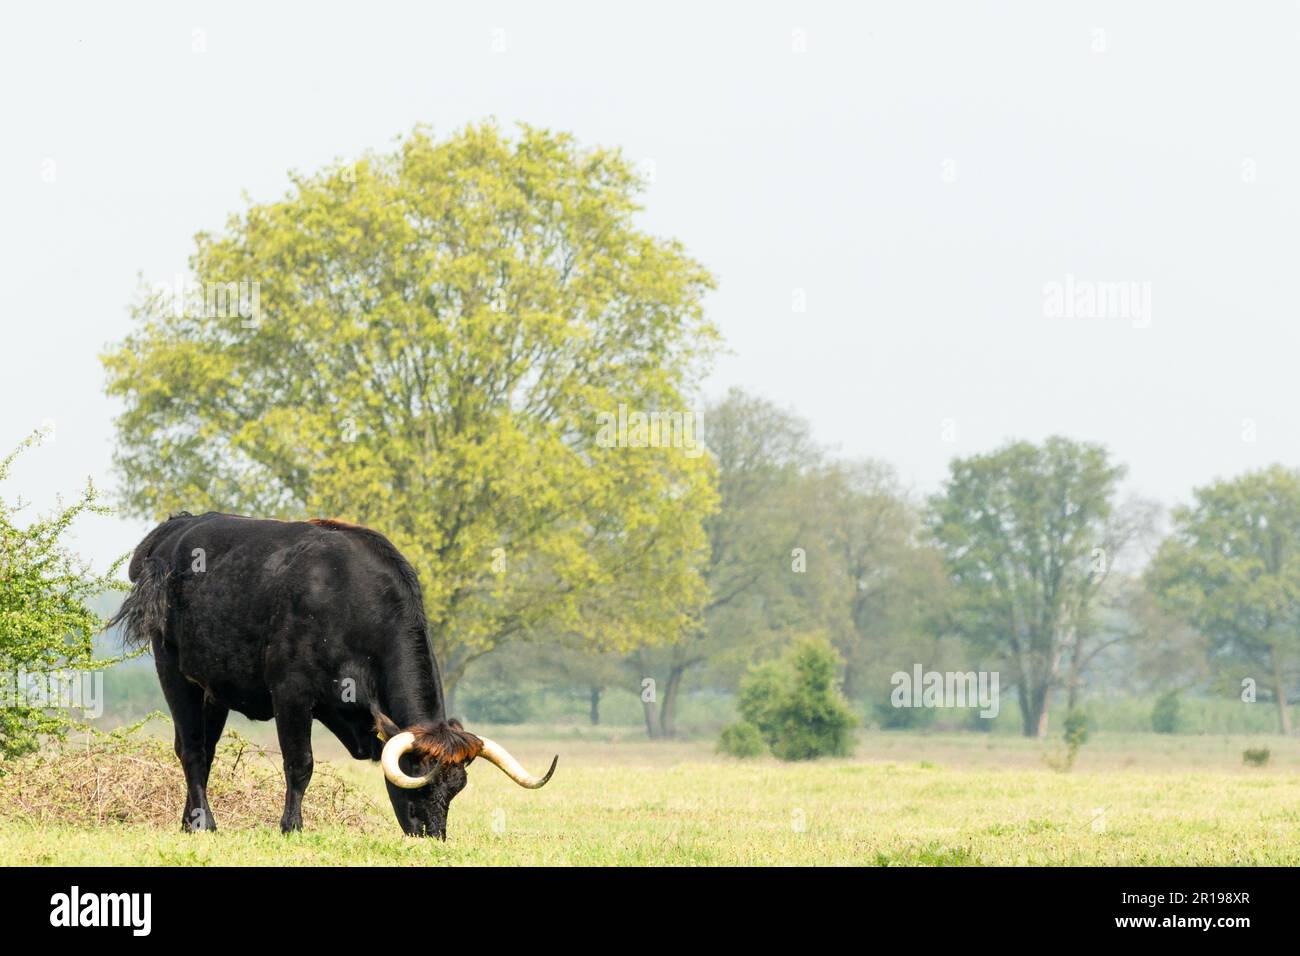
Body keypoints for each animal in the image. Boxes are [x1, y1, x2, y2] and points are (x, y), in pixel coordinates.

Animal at [109, 511, 556, 838]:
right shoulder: (291, 694)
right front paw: (291, 827)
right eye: (418, 777)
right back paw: (206, 824)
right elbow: (300, 764)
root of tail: (175, 527)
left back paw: (191, 822)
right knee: (192, 749)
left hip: (213, 689)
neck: (352, 601)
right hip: (173, 672)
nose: (433, 835)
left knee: (204, 750)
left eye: (456, 787)